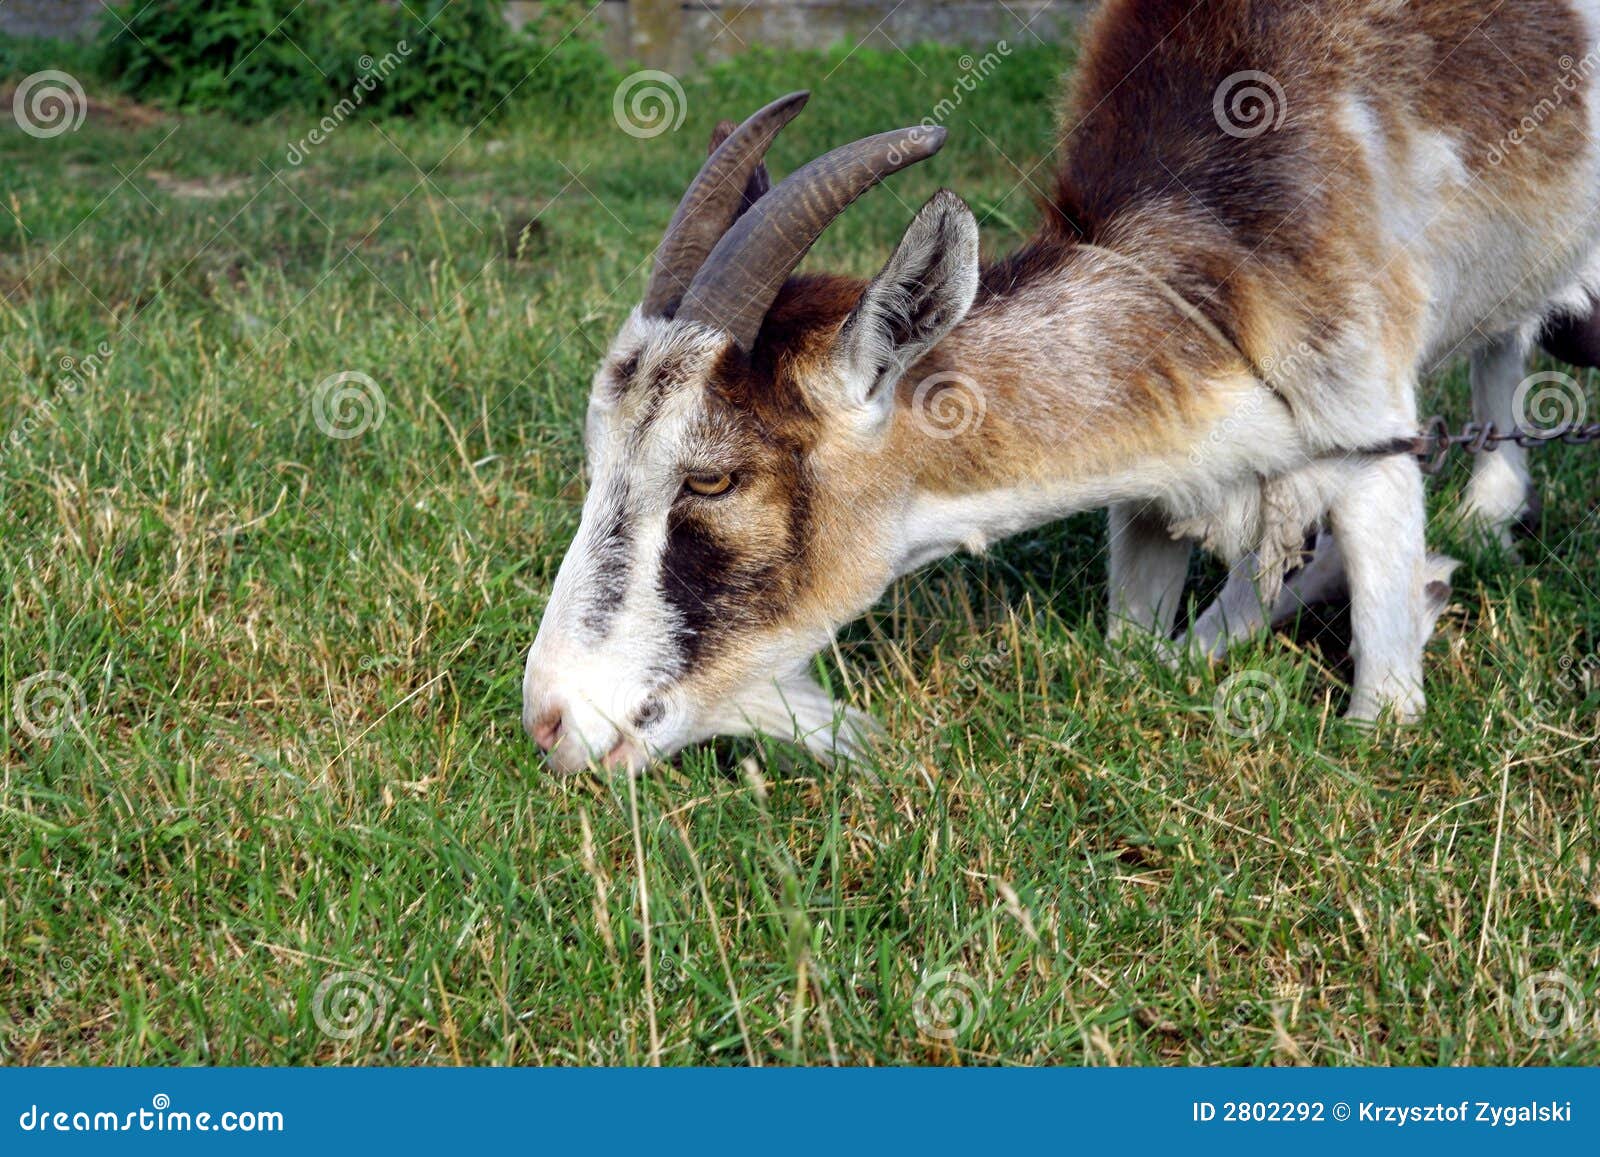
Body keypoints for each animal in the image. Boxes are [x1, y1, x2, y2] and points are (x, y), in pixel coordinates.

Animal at [523, 0, 1600, 774]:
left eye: (712, 477)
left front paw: (1416, 595)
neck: (1227, 261)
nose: (551, 717)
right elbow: (1144, 653)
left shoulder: (1364, 417)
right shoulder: (1167, 479)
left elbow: (1382, 718)